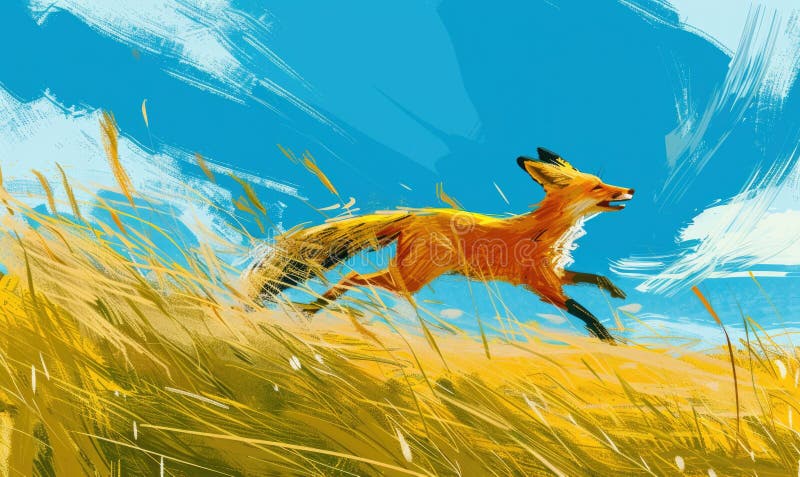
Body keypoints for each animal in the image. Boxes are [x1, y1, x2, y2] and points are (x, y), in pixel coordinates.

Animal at [245, 147, 634, 342]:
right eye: (598, 186)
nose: (630, 189)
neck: (548, 231)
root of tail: (413, 215)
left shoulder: (555, 274)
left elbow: (595, 278)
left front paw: (616, 293)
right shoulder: (542, 285)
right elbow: (584, 313)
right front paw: (609, 341)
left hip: (407, 277)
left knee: (354, 278)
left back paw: (308, 310)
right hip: (409, 280)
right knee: (353, 276)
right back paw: (309, 311)